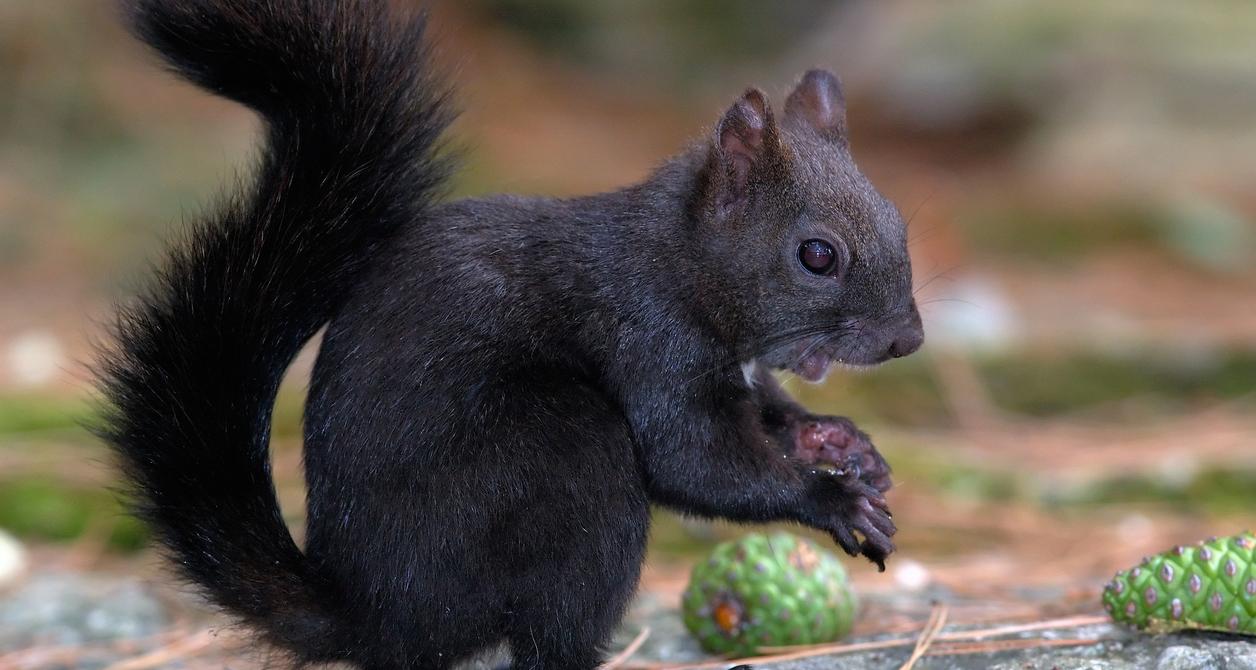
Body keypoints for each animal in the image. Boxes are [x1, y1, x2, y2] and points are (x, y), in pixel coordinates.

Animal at [97, 0, 924, 668]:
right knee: (550, 633)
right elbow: (696, 463)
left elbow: (775, 417)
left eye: (899, 219)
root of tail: (375, 616)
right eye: (817, 255)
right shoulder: (648, 342)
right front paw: (832, 499)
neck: (683, 267)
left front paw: (846, 443)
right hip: (563, 458)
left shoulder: (746, 376)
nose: (907, 341)